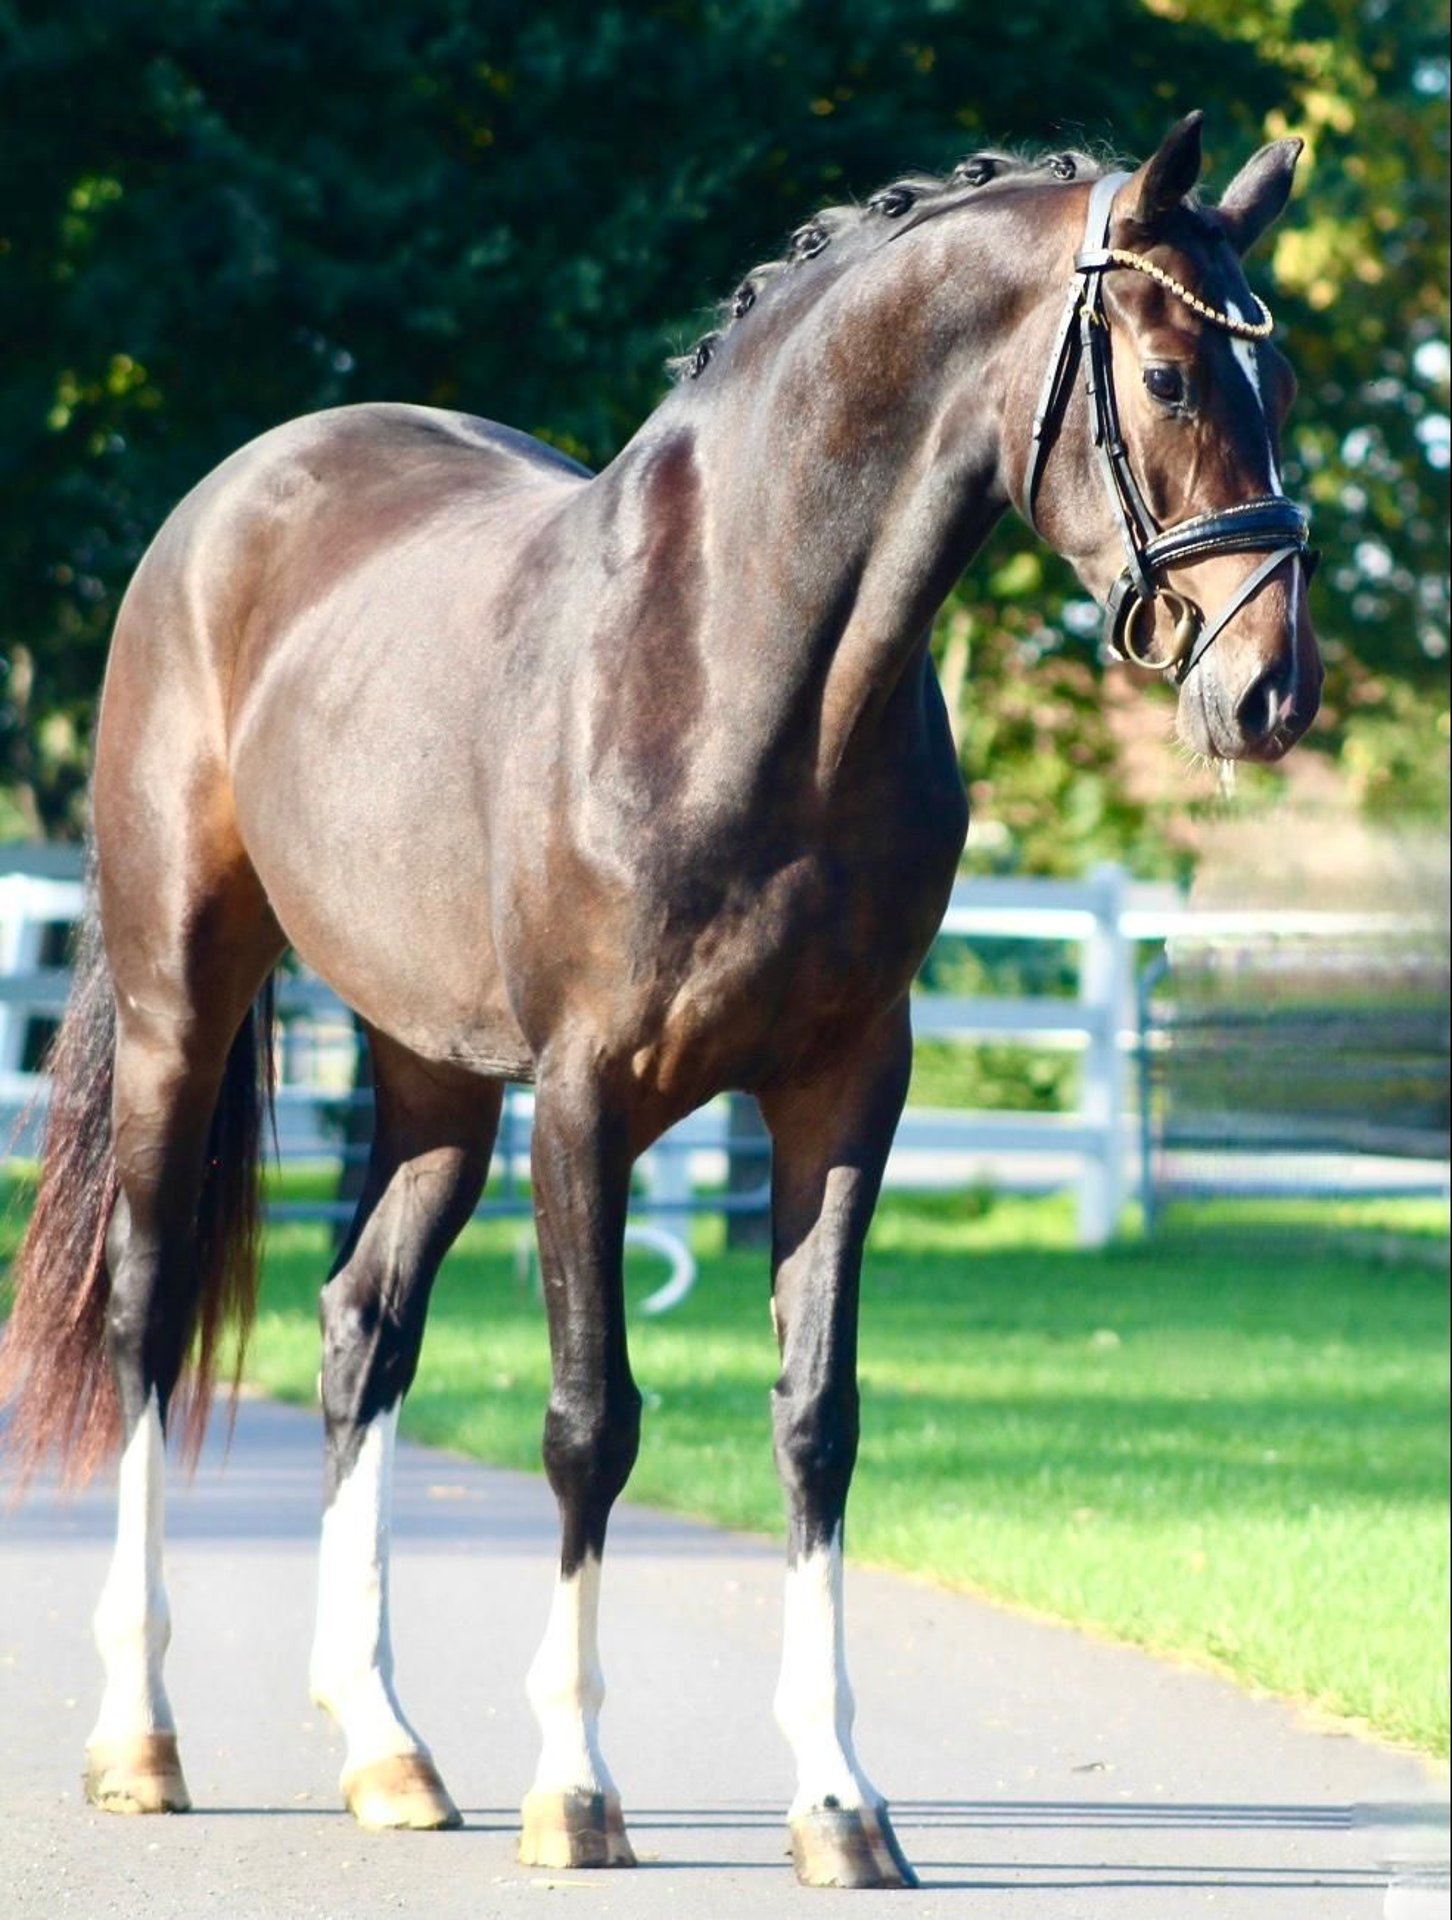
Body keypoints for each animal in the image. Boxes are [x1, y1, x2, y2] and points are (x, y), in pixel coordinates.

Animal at [0, 111, 1321, 1889]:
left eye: (1280, 378)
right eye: (1172, 375)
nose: (1269, 690)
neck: (742, 661)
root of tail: (229, 498)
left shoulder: (845, 1096)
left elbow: (817, 1420)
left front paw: (839, 1803)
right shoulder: (586, 1099)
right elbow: (588, 1421)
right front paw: (576, 1787)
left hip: (432, 1079)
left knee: (362, 1332)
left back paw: (388, 1747)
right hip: (177, 1005)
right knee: (144, 1319)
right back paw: (139, 1736)